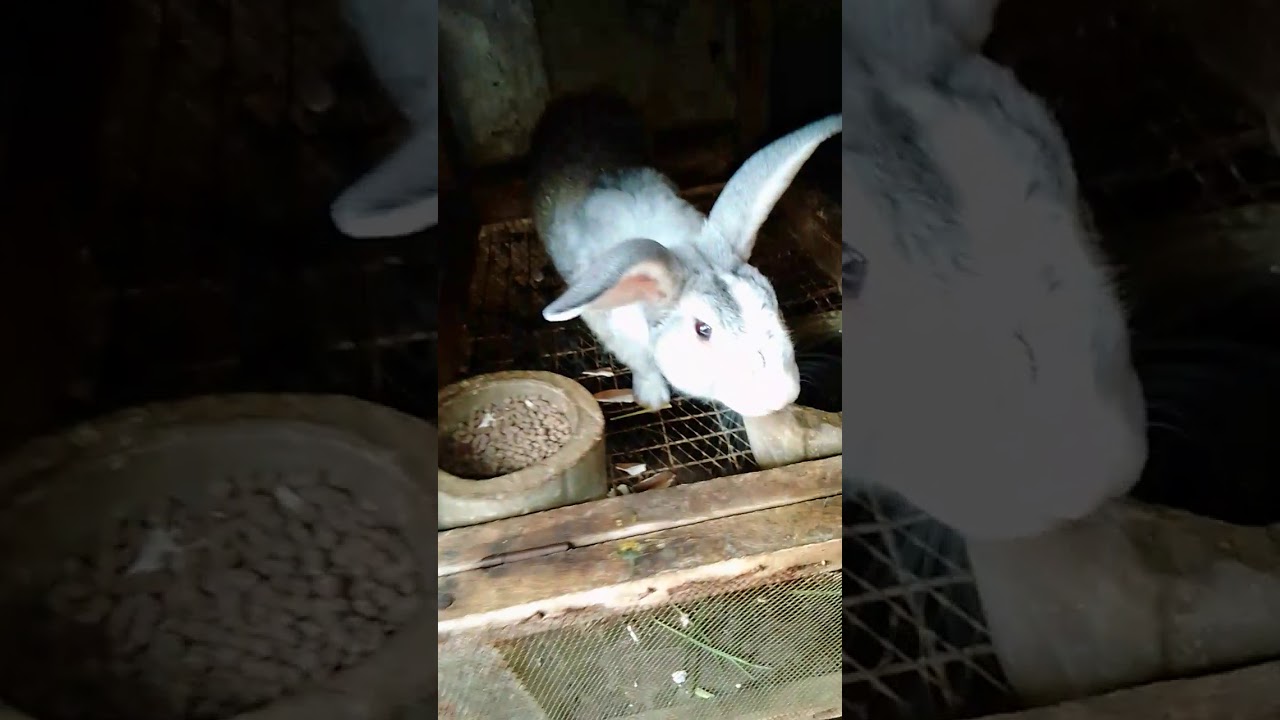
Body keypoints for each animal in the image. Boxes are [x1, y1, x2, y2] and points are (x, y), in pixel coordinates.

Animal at [528, 93, 842, 418]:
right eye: (703, 330)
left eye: (770, 300)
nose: (781, 395)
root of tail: (581, 98)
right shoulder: (611, 329)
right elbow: (644, 366)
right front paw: (653, 398)